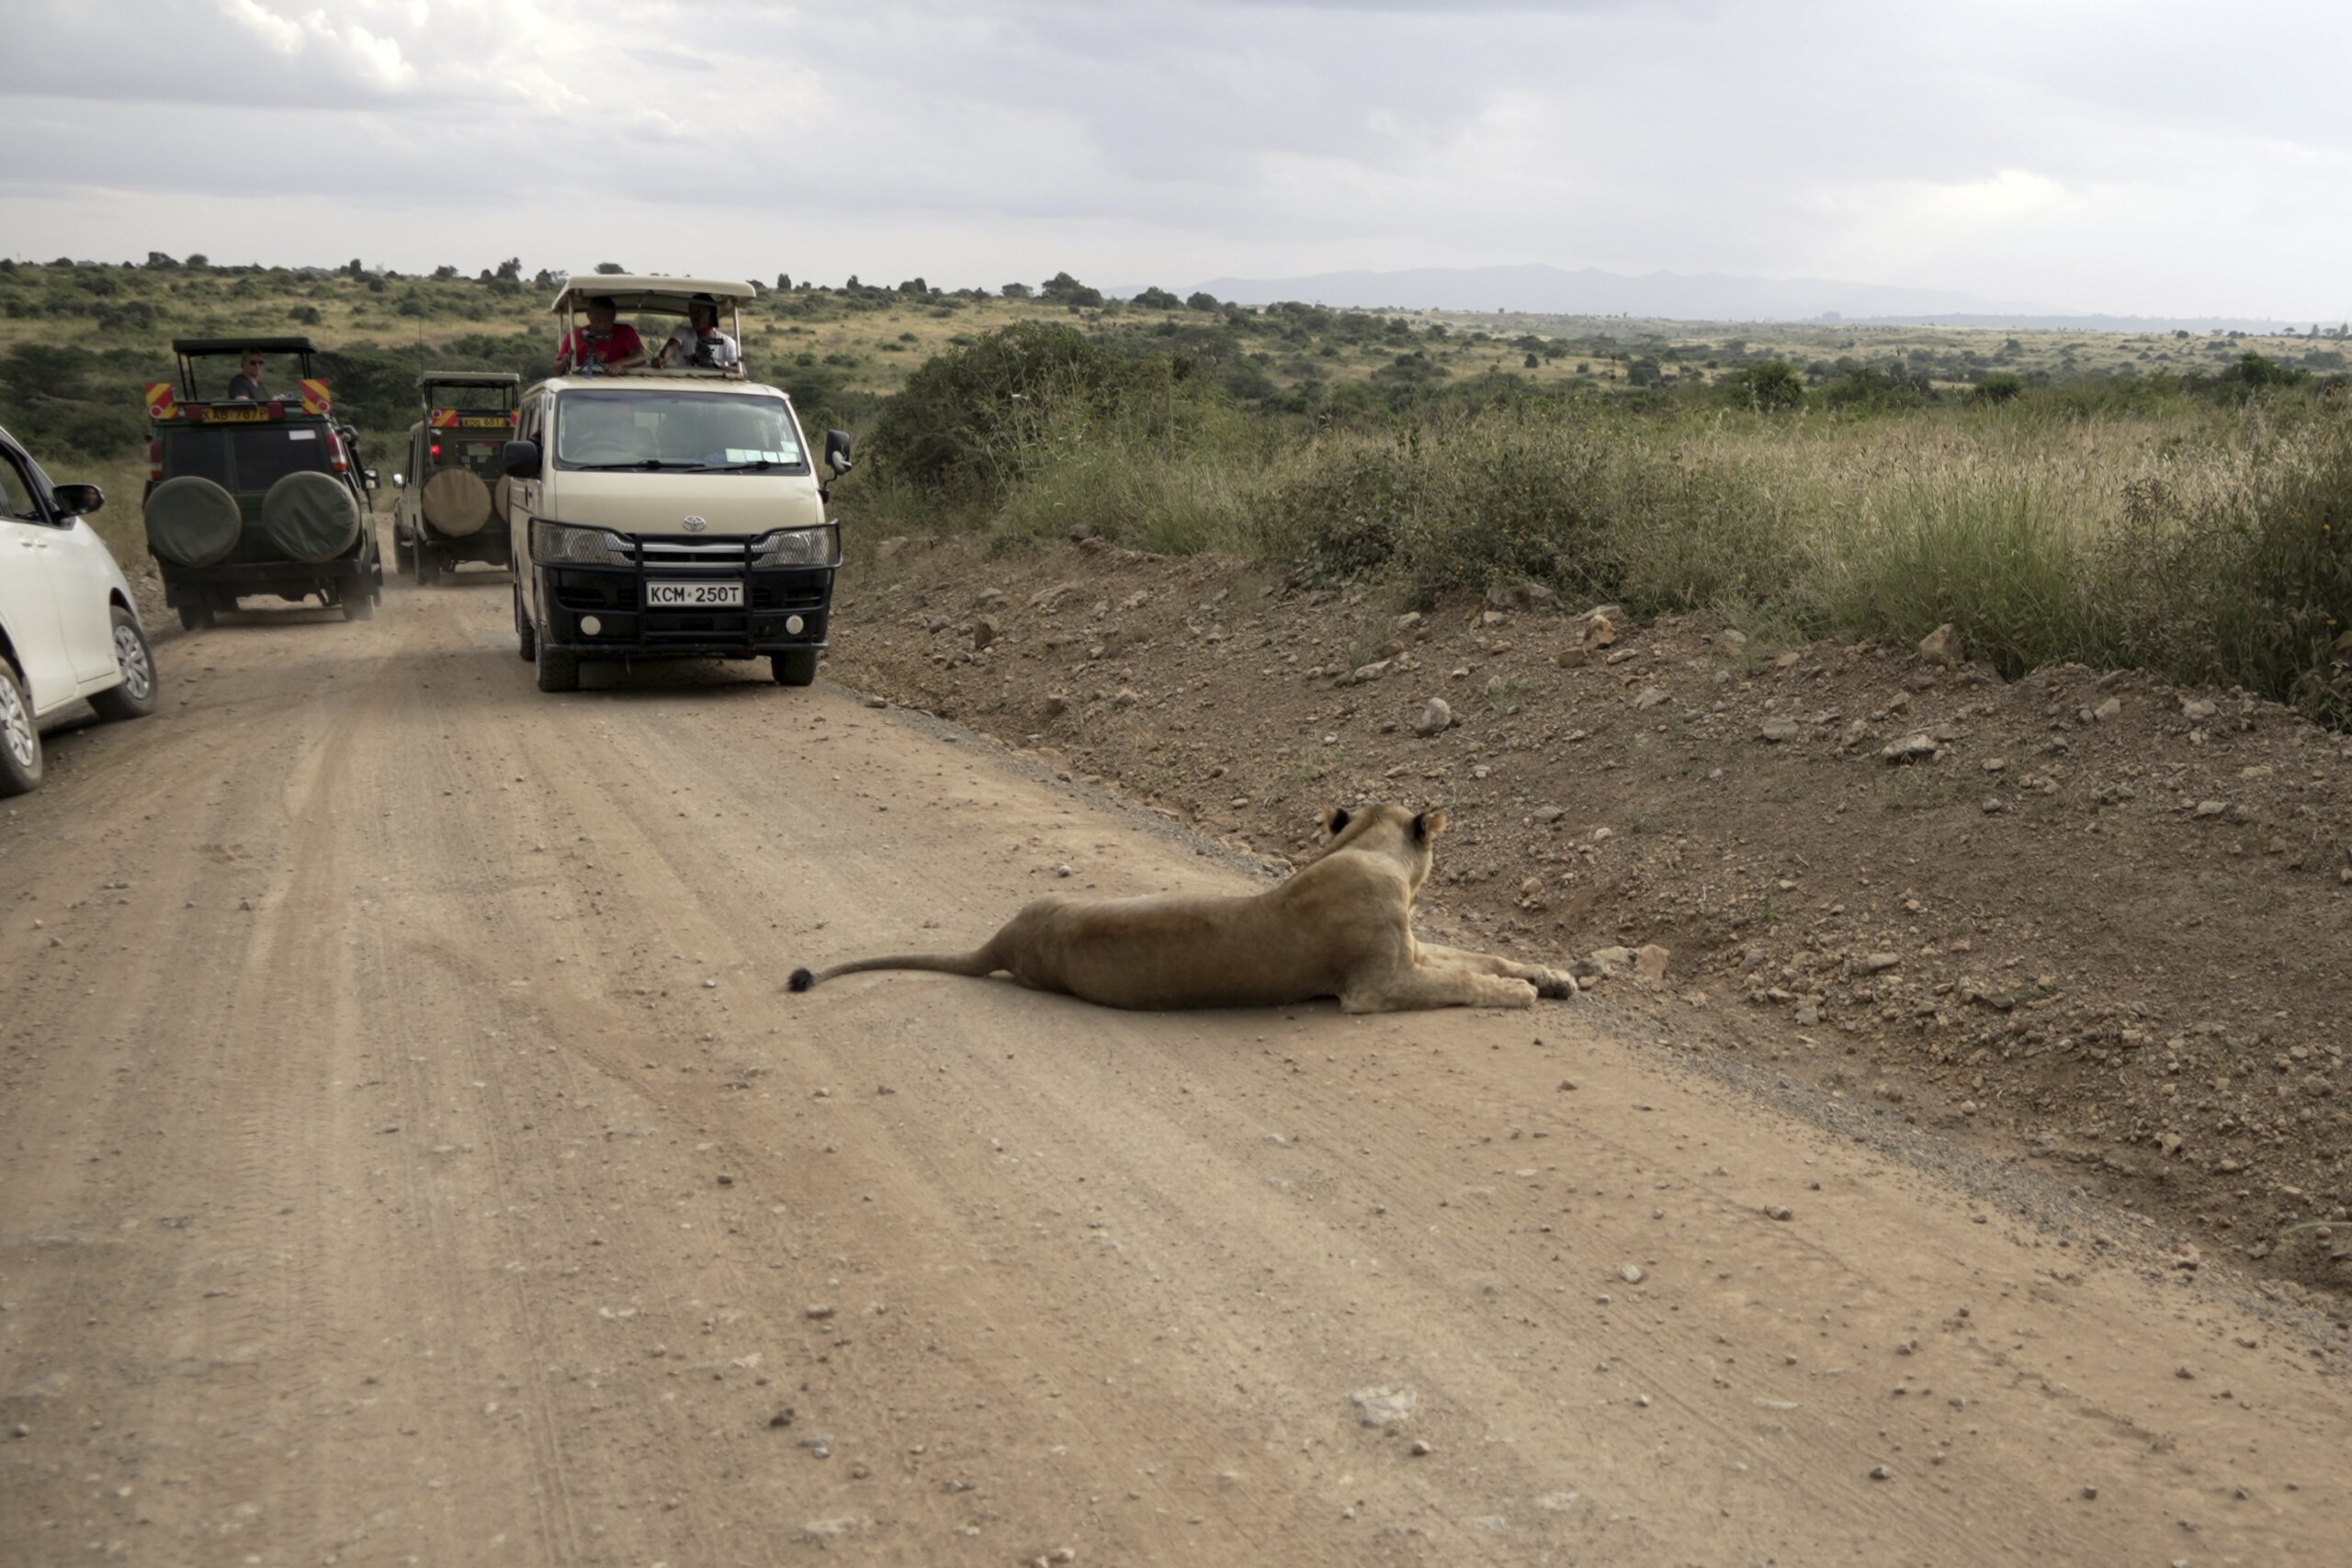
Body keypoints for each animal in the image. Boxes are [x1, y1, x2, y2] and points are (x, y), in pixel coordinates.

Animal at [786, 803, 1576, 1013]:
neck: (1364, 848)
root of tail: (1006, 937)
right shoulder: (1376, 986)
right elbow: (1464, 981)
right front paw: (1518, 995)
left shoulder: (1412, 949)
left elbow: (1482, 954)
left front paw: (1554, 976)